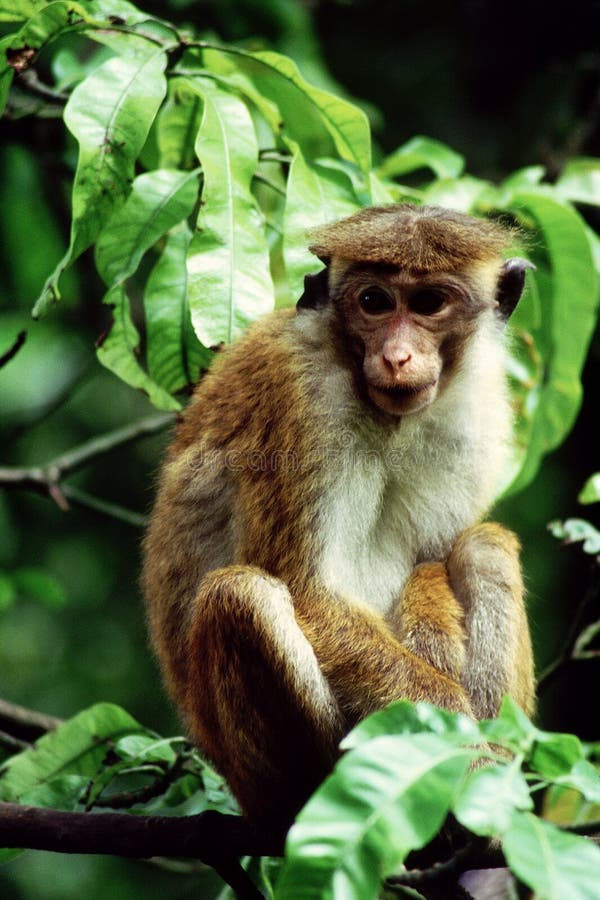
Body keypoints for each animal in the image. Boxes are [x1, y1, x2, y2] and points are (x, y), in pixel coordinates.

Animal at [142, 203, 535, 837]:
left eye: (429, 303)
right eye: (374, 302)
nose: (397, 356)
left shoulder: (477, 407)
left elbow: (435, 560)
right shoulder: (298, 398)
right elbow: (307, 592)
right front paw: (460, 746)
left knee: (484, 547)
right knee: (241, 595)